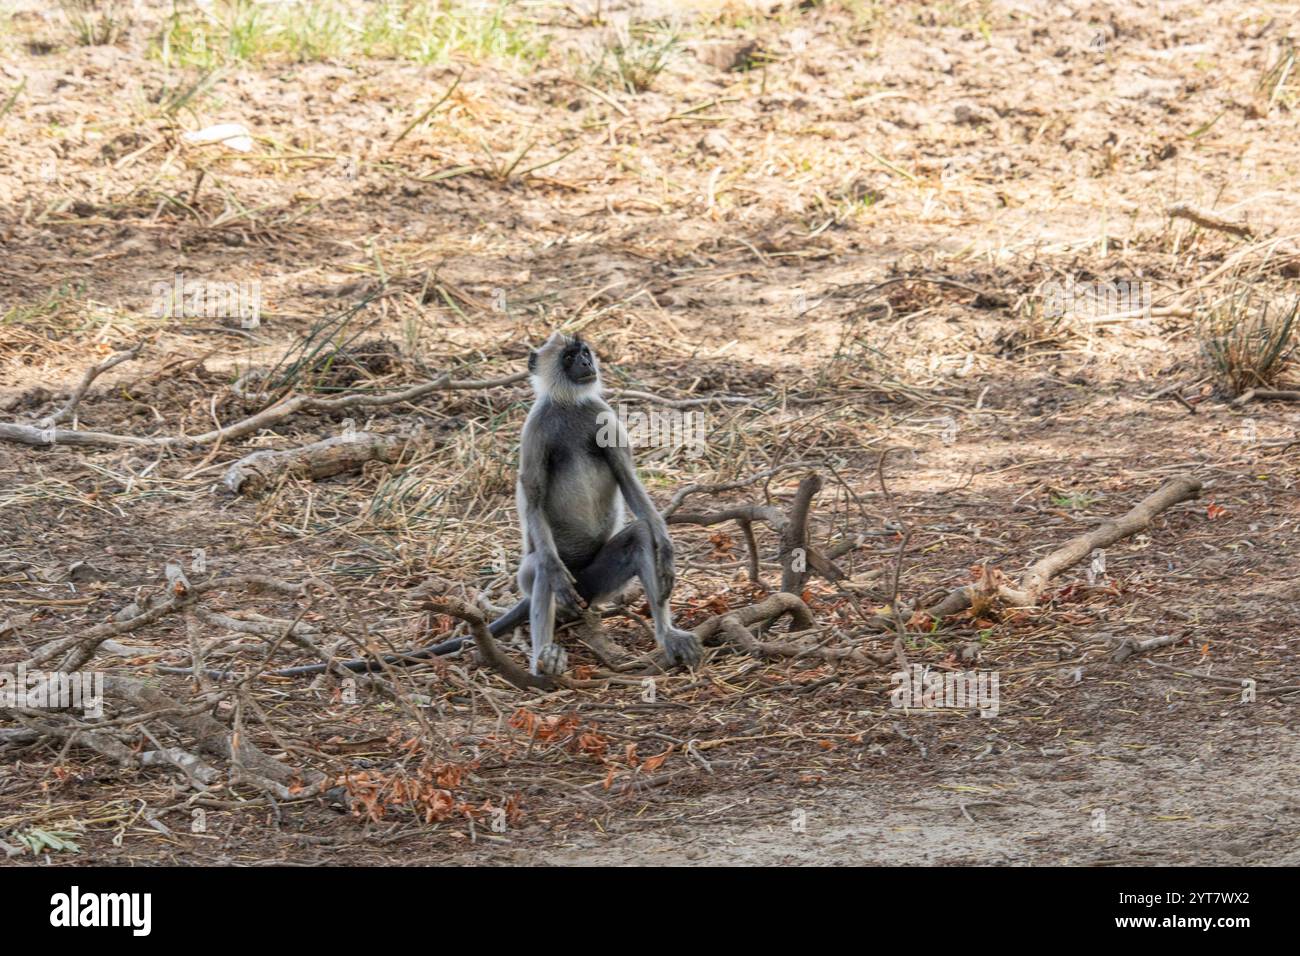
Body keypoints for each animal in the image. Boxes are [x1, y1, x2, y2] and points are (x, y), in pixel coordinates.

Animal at [241, 331, 701, 680]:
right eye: (570, 357)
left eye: (585, 352)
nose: (587, 362)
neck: (570, 405)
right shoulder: (537, 427)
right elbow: (534, 498)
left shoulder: (602, 414)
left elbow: (630, 483)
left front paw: (668, 550)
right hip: (557, 580)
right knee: (542, 569)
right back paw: (544, 656)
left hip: (597, 583)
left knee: (639, 537)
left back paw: (667, 635)